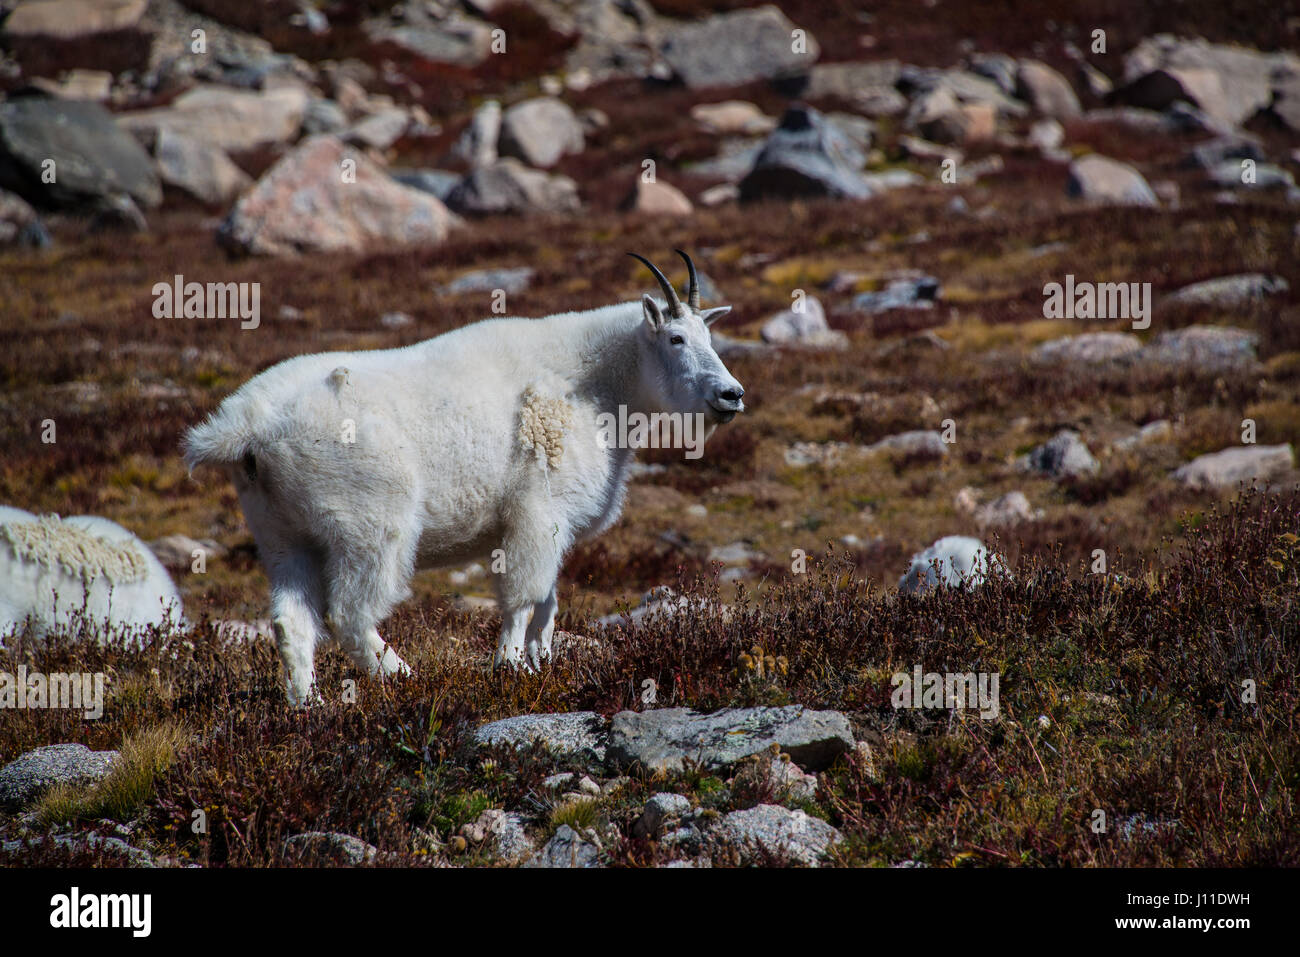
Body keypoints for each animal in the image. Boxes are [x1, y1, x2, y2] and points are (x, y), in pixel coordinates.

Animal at [184, 251, 745, 705]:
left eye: (710, 337)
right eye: (676, 338)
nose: (731, 395)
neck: (596, 384)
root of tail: (248, 425)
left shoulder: (553, 525)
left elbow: (549, 603)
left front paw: (543, 663)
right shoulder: (536, 511)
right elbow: (523, 598)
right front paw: (511, 667)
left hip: (280, 531)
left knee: (290, 620)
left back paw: (310, 706)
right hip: (368, 525)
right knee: (349, 615)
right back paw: (405, 677)